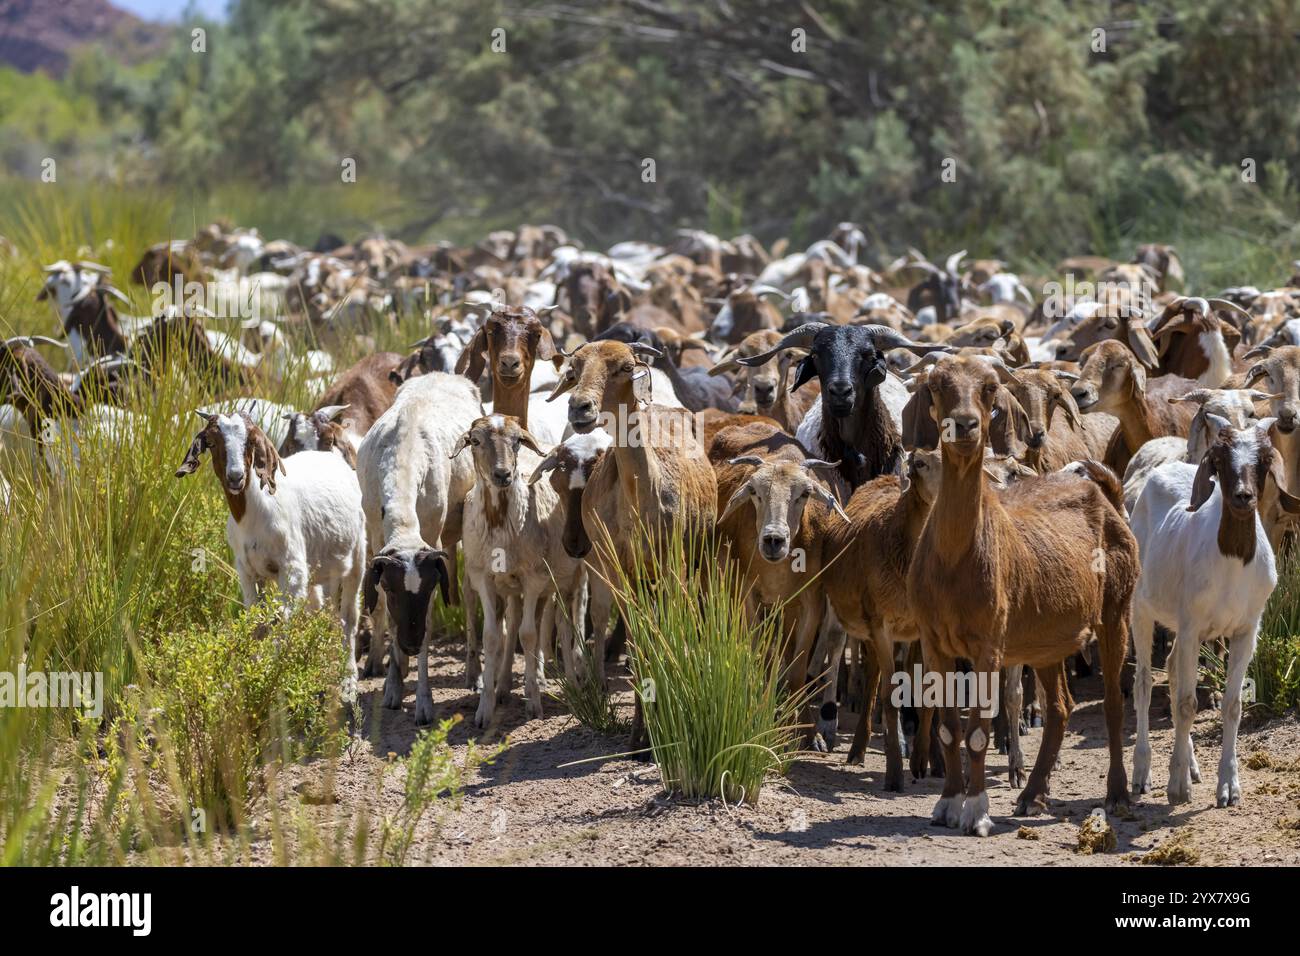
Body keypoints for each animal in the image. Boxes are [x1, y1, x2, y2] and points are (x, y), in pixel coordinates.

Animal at [907, 355, 1139, 834]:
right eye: (936, 386)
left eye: (990, 388)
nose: (964, 424)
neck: (956, 559)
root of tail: (1105, 493)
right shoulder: (934, 641)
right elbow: (949, 728)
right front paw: (947, 802)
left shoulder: (989, 644)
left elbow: (977, 732)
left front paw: (976, 811)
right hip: (1047, 638)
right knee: (1061, 707)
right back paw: (1032, 794)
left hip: (1115, 611)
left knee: (1112, 703)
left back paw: (1117, 793)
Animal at [1130, 417, 1300, 807]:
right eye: (1220, 460)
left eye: (1263, 461)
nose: (1242, 496)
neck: (1231, 564)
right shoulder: (1193, 626)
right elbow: (1187, 703)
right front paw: (1177, 788)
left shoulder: (1246, 630)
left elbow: (1232, 705)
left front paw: (1228, 787)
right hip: (1140, 607)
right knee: (1143, 682)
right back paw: (1142, 773)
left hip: (1178, 623)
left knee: (1172, 668)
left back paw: (1189, 764)